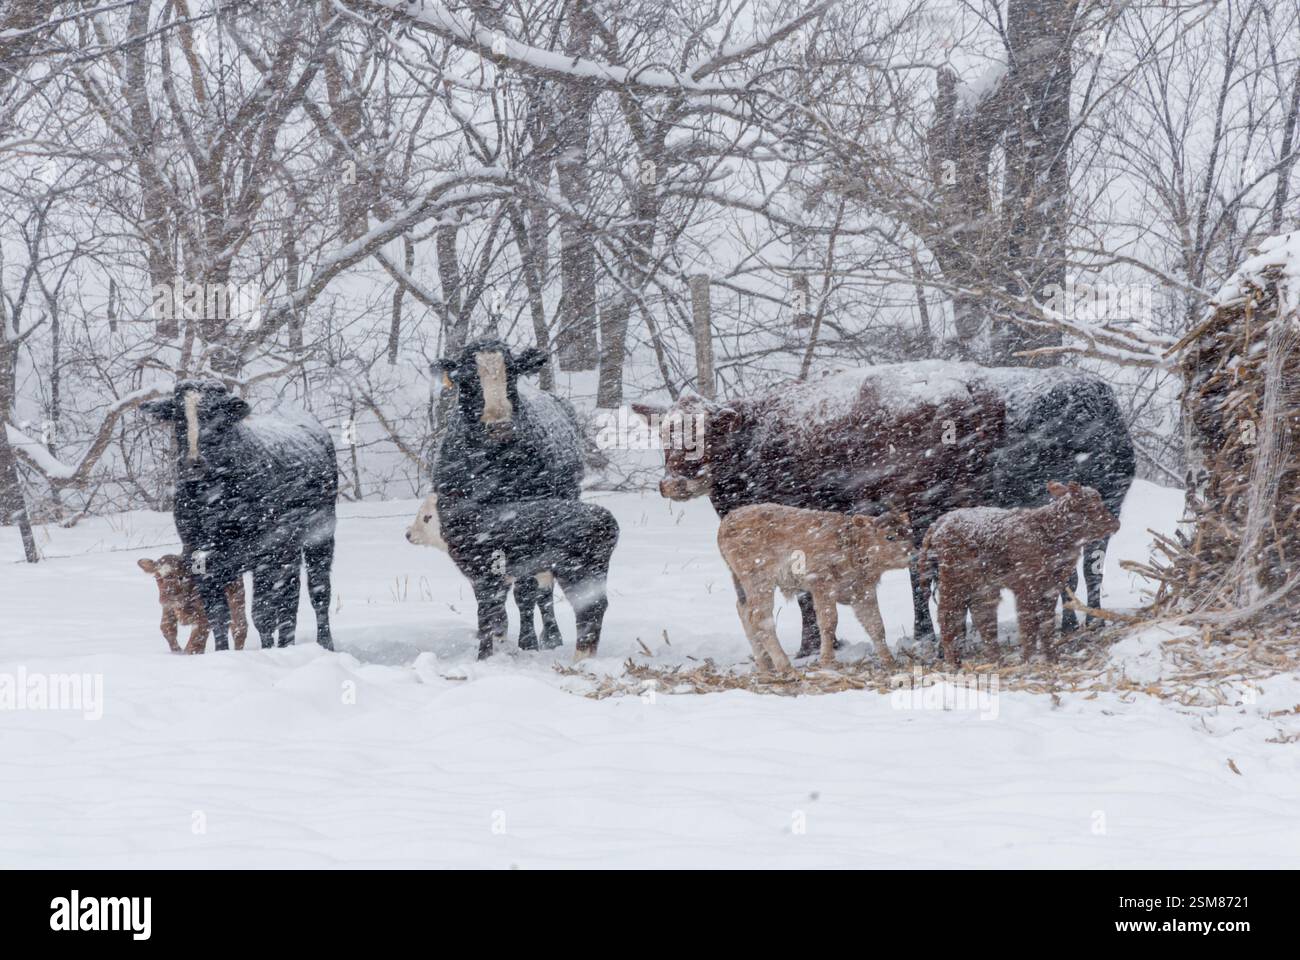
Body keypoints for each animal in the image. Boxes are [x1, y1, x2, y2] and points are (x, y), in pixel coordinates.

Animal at [141, 379, 337, 651]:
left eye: (216, 415)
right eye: (178, 417)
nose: (193, 463)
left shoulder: (265, 553)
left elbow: (261, 614)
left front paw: (267, 652)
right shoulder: (202, 558)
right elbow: (218, 616)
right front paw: (223, 653)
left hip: (319, 536)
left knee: (317, 592)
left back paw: (322, 644)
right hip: (288, 552)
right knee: (290, 597)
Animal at [430, 339, 587, 655]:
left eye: (512, 373)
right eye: (467, 378)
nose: (499, 424)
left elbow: (525, 591)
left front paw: (527, 643)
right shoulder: (466, 536)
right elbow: (488, 597)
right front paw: (489, 647)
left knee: (543, 586)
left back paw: (550, 637)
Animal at [634, 360, 1135, 654]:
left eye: (708, 433)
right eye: (665, 434)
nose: (673, 483)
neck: (761, 438)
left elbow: (808, 597)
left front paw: (812, 647)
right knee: (1084, 569)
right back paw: (1075, 624)